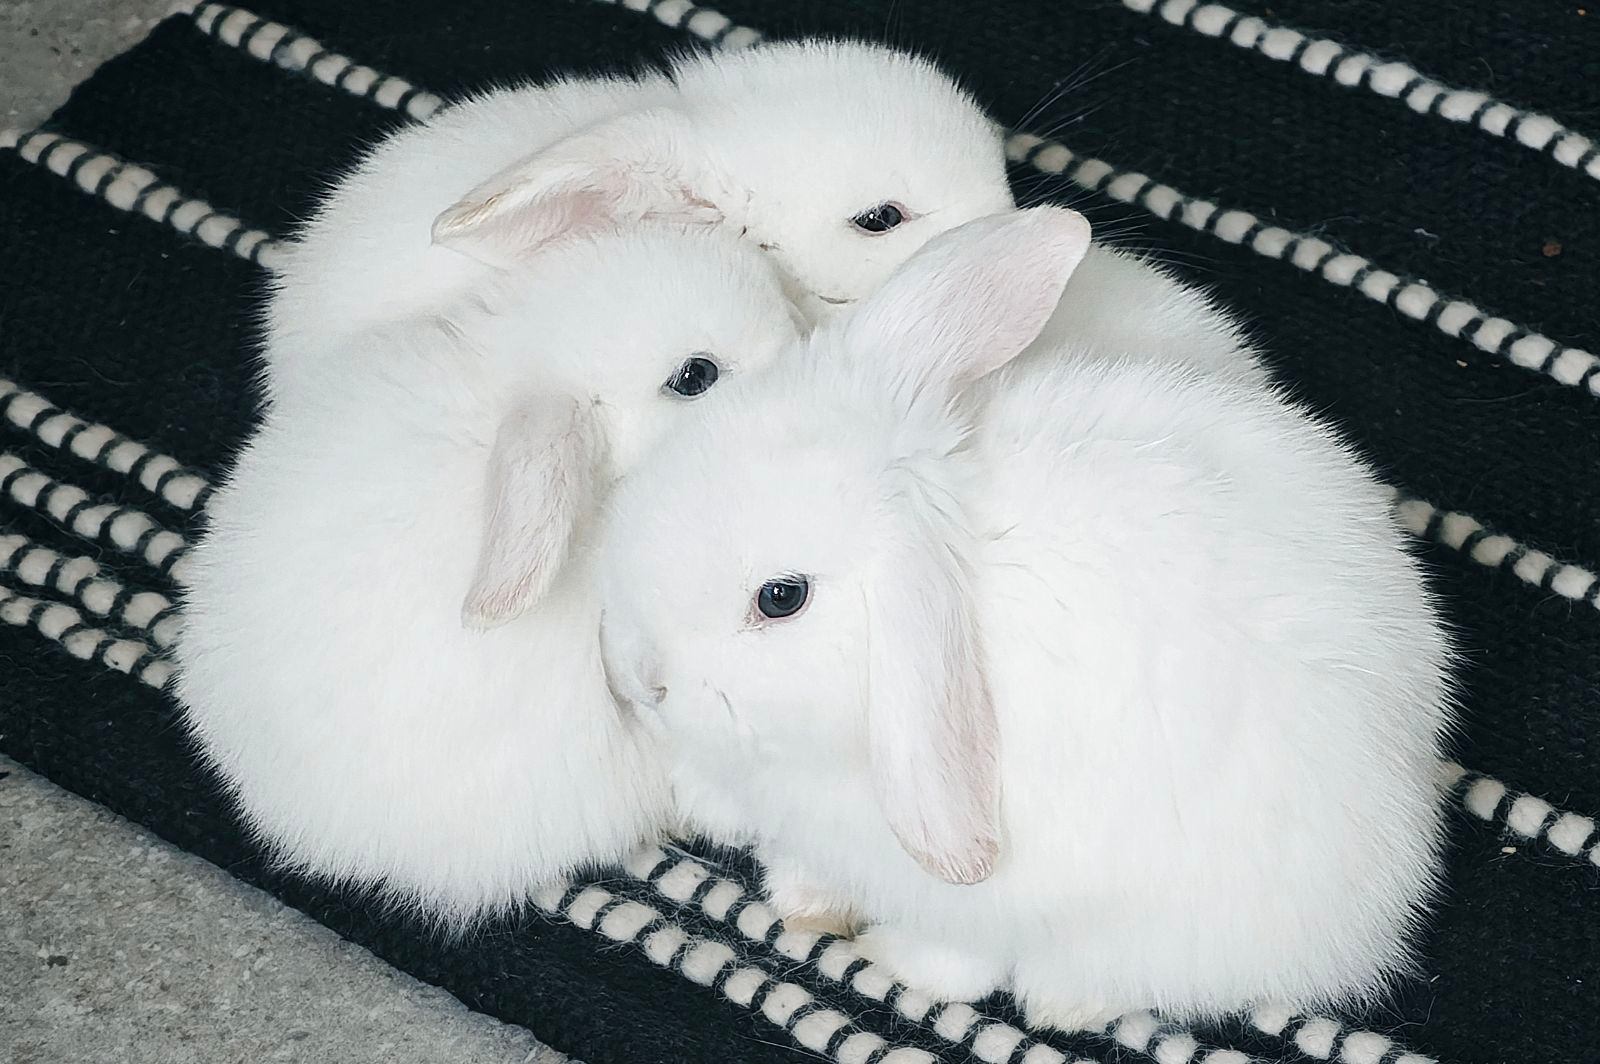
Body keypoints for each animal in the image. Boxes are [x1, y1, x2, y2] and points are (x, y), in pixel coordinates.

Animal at [595, 207, 1456, 1026]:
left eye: (781, 598)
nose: (637, 678)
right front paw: (806, 904)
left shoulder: (994, 893)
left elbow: (962, 959)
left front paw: (890, 959)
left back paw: (1063, 1002)